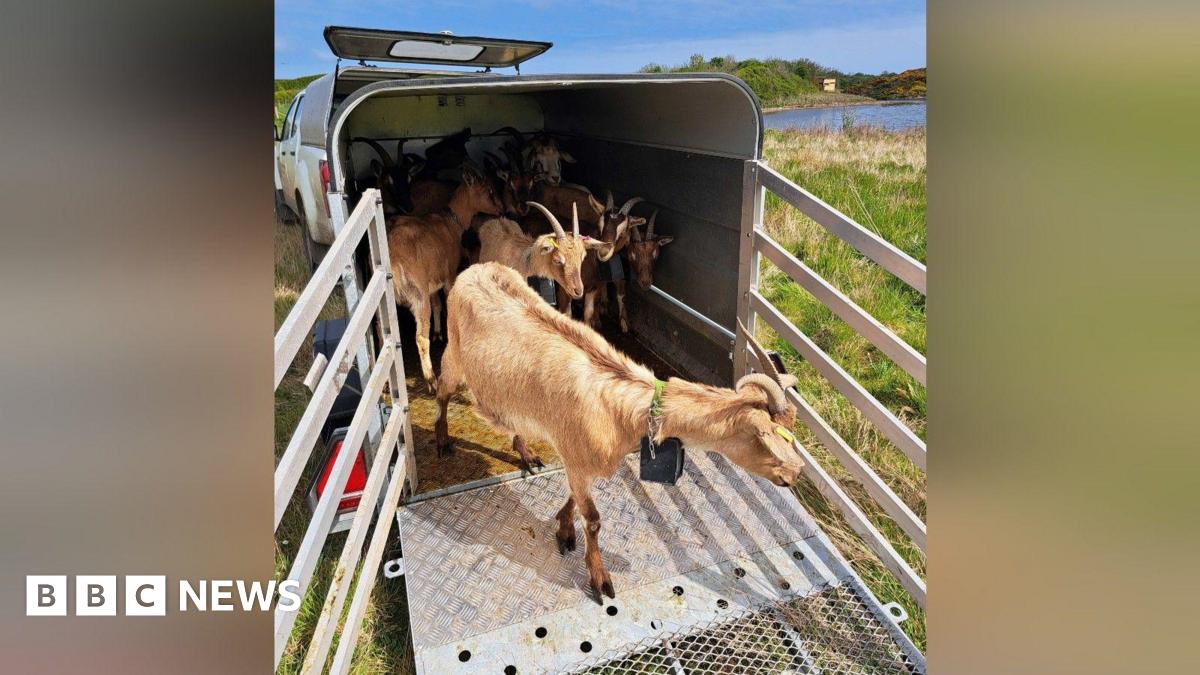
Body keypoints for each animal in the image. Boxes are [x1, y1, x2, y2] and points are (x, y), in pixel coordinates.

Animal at [387, 163, 503, 389]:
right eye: (489, 190)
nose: (502, 209)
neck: (450, 223)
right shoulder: (448, 275)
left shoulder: (433, 281)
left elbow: (437, 304)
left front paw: (439, 334)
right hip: (417, 295)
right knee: (420, 337)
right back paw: (431, 379)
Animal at [434, 263, 803, 602]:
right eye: (764, 437)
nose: (796, 473)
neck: (621, 411)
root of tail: (474, 268)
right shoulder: (577, 456)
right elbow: (594, 520)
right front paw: (599, 578)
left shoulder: (580, 461)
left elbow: (575, 498)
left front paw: (563, 527)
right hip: (453, 353)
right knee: (442, 392)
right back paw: (442, 441)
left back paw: (527, 454)